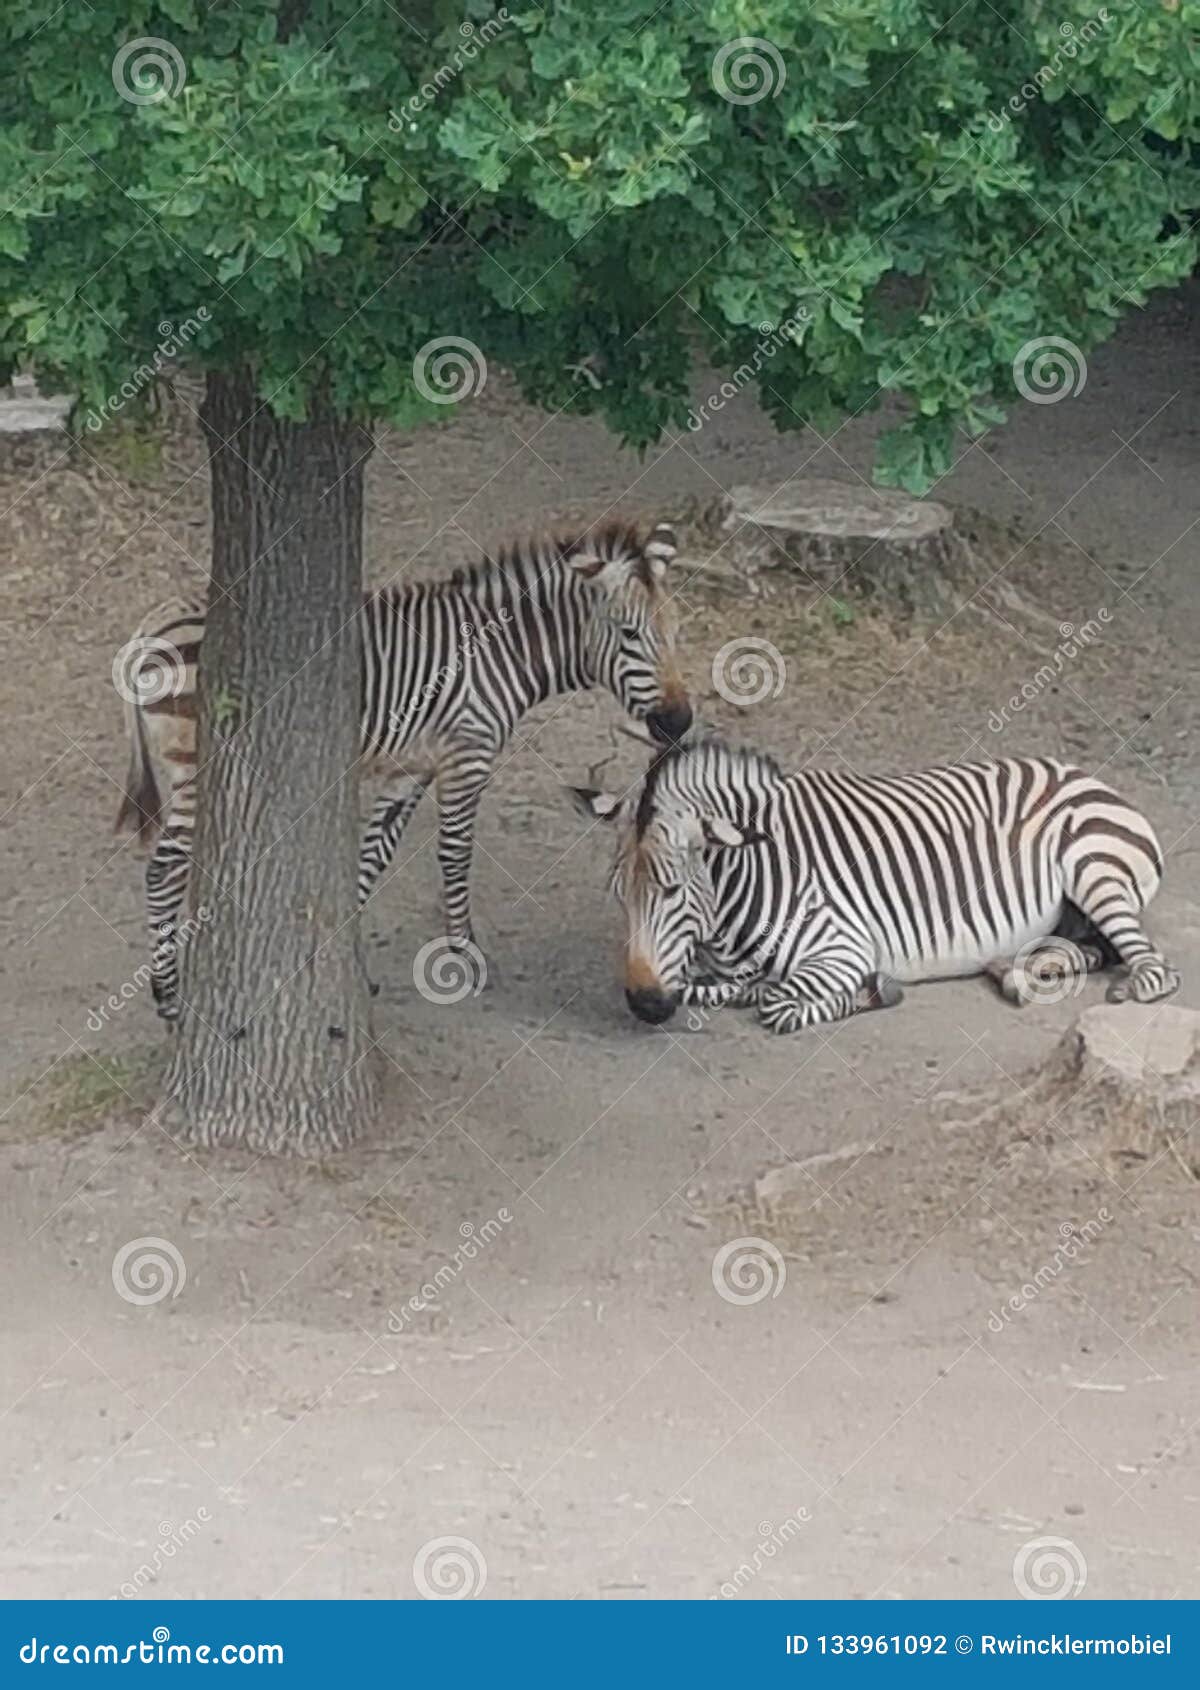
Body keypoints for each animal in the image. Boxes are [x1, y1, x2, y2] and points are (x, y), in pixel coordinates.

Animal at [115, 520, 691, 1021]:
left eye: (675, 632)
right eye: (629, 634)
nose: (680, 722)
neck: (499, 652)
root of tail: (152, 622)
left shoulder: (412, 769)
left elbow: (373, 858)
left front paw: (350, 965)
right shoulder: (467, 755)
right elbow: (455, 856)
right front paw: (466, 957)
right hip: (194, 767)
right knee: (162, 871)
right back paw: (168, 997)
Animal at [571, 736, 1178, 1033]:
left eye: (672, 890)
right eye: (621, 896)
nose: (646, 1007)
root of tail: (1088, 777)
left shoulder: (843, 946)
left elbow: (780, 1002)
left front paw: (869, 990)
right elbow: (708, 985)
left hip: (1094, 869)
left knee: (1152, 969)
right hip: (1077, 908)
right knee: (1091, 949)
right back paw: (1015, 970)